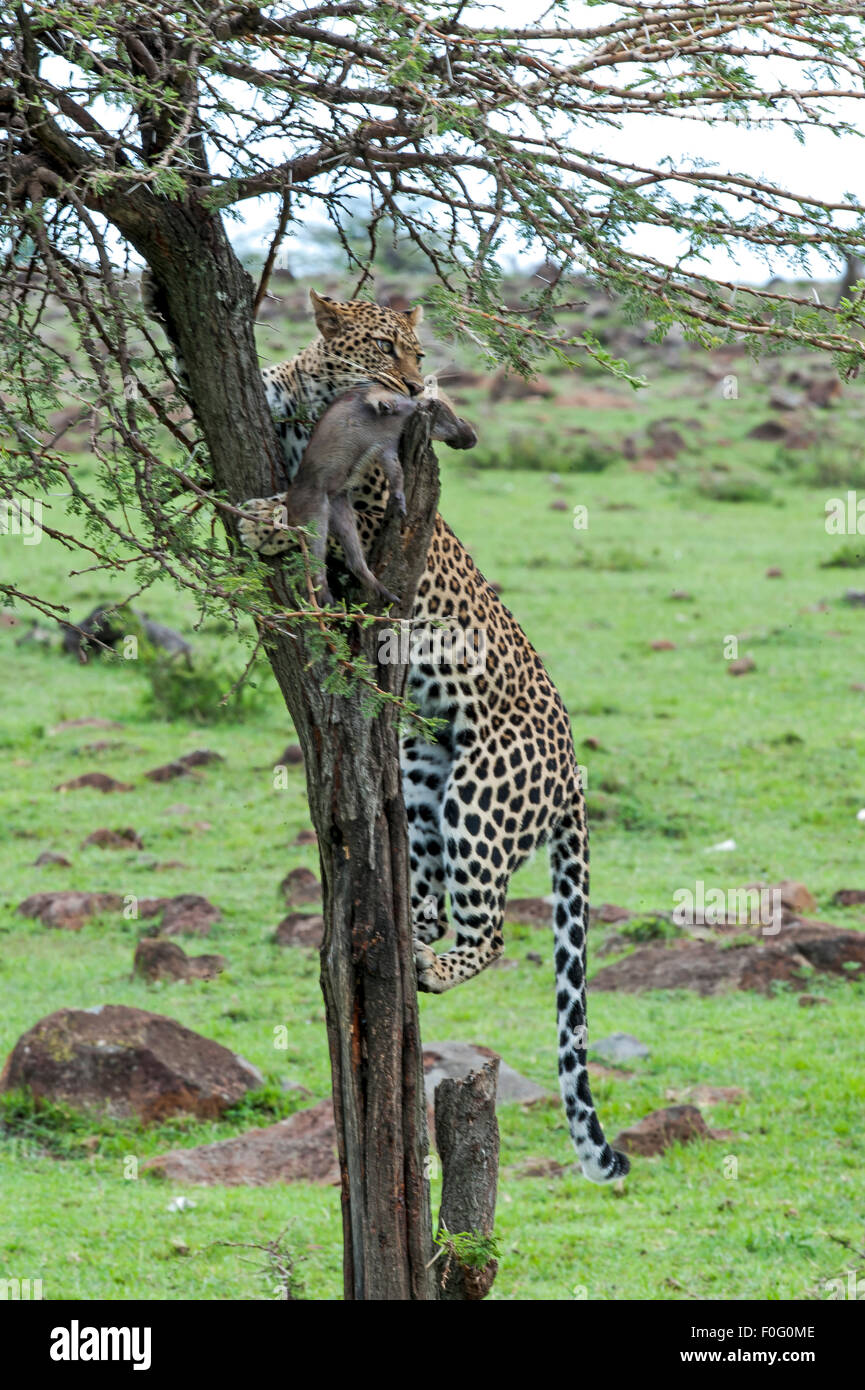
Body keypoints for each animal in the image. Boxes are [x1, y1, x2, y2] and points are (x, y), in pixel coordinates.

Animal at [238, 290, 630, 1184]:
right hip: (420, 779)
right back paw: (397, 953)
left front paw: (260, 513)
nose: (417, 386)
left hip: (479, 799)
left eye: (417, 350)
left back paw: (432, 966)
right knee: (421, 903)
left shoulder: (372, 499)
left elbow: (308, 502)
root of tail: (574, 773)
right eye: (386, 345)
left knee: (488, 932)